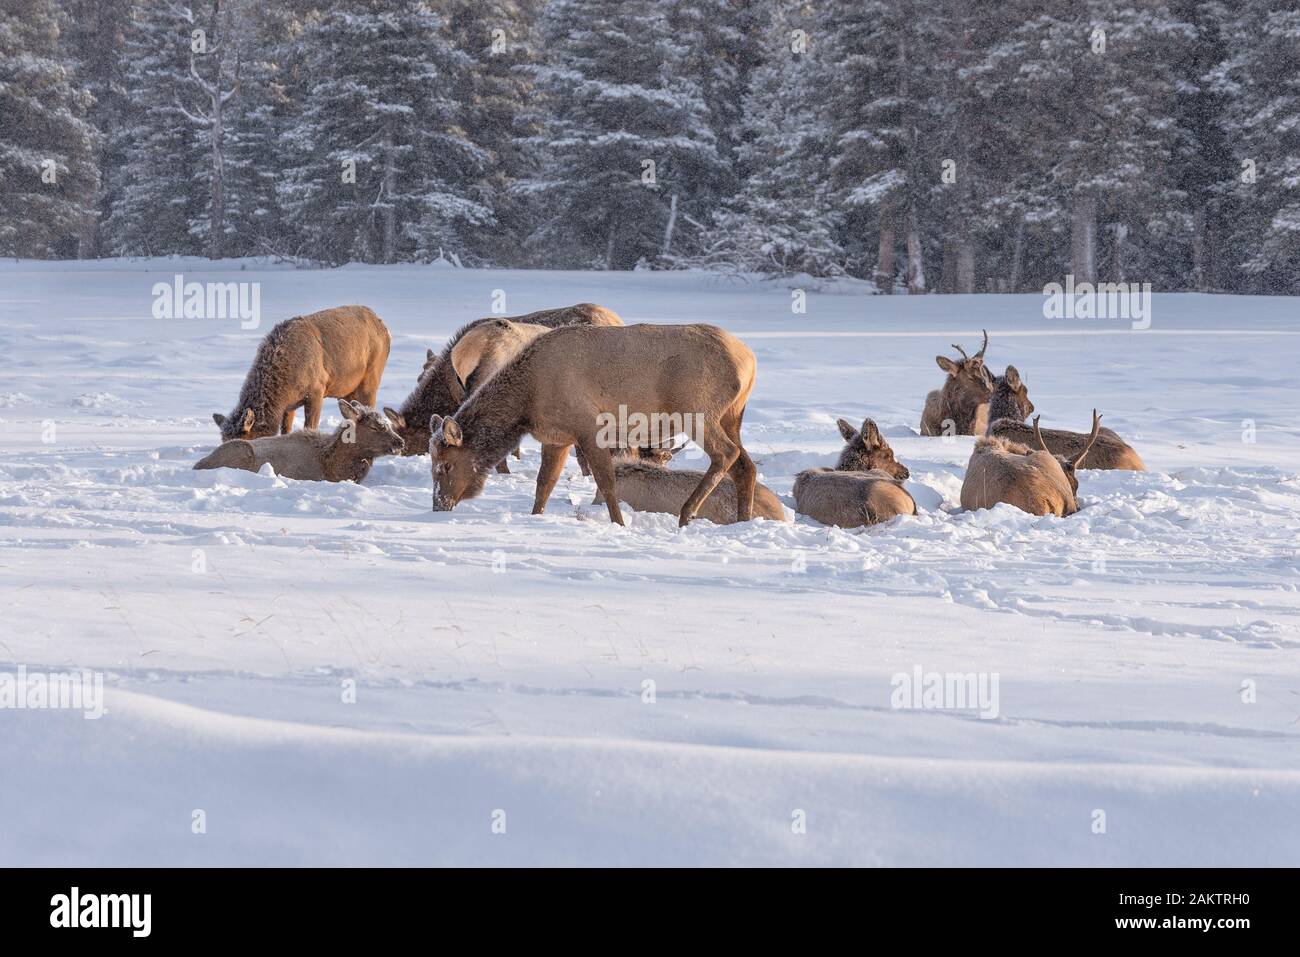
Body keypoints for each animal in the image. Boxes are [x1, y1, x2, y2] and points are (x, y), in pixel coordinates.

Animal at [213, 305, 390, 441]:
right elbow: (285, 430)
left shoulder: (317, 390)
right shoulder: (289, 405)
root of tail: (384, 327)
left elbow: (310, 426)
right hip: (347, 390)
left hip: (372, 376)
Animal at [427, 323, 757, 527]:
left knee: (726, 454)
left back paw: (687, 513)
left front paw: (619, 523)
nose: (439, 505)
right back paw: (743, 519)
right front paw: (536, 518)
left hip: (697, 410)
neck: (527, 405)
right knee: (745, 464)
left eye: (445, 465)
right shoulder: (557, 436)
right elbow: (544, 484)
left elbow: (606, 482)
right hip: (732, 414)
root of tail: (751, 360)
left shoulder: (589, 427)